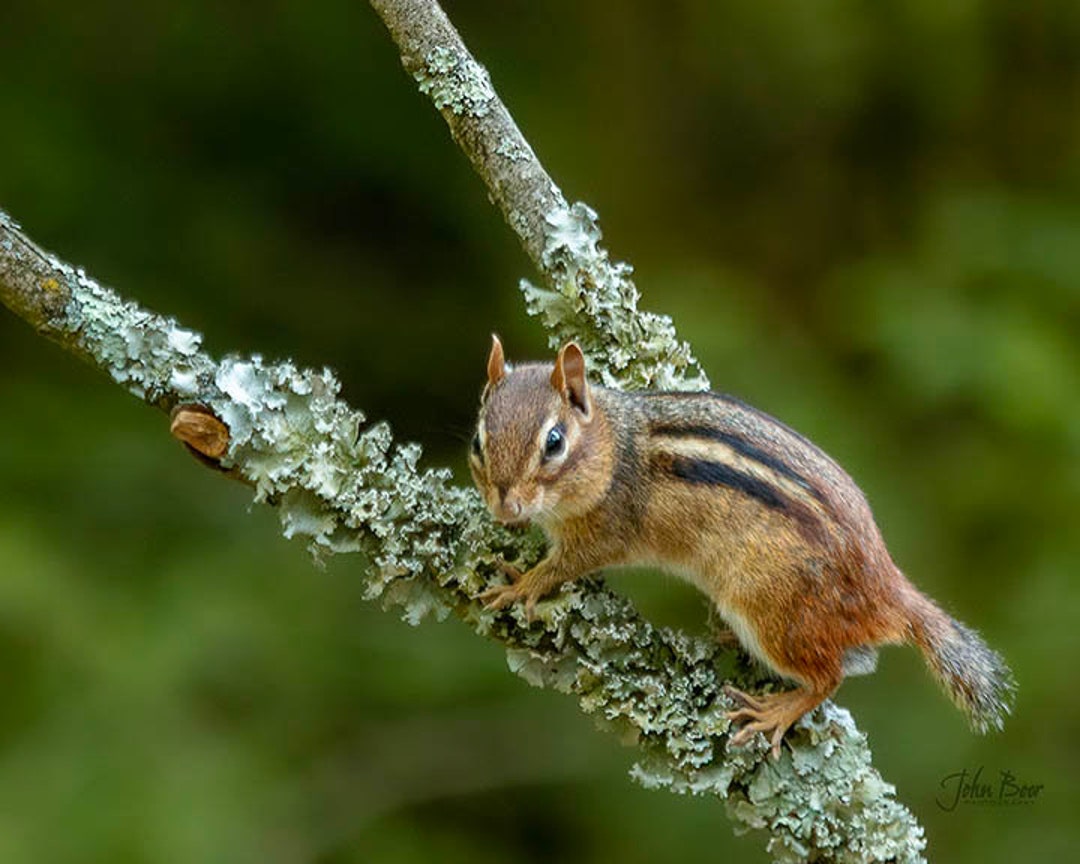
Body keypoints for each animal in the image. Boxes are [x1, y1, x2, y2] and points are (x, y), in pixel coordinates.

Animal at [469, 336, 1015, 759]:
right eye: (478, 442)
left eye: (554, 442)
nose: (506, 506)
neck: (615, 446)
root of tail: (886, 586)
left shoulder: (607, 527)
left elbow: (566, 564)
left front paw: (523, 585)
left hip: (771, 610)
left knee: (831, 676)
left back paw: (777, 711)